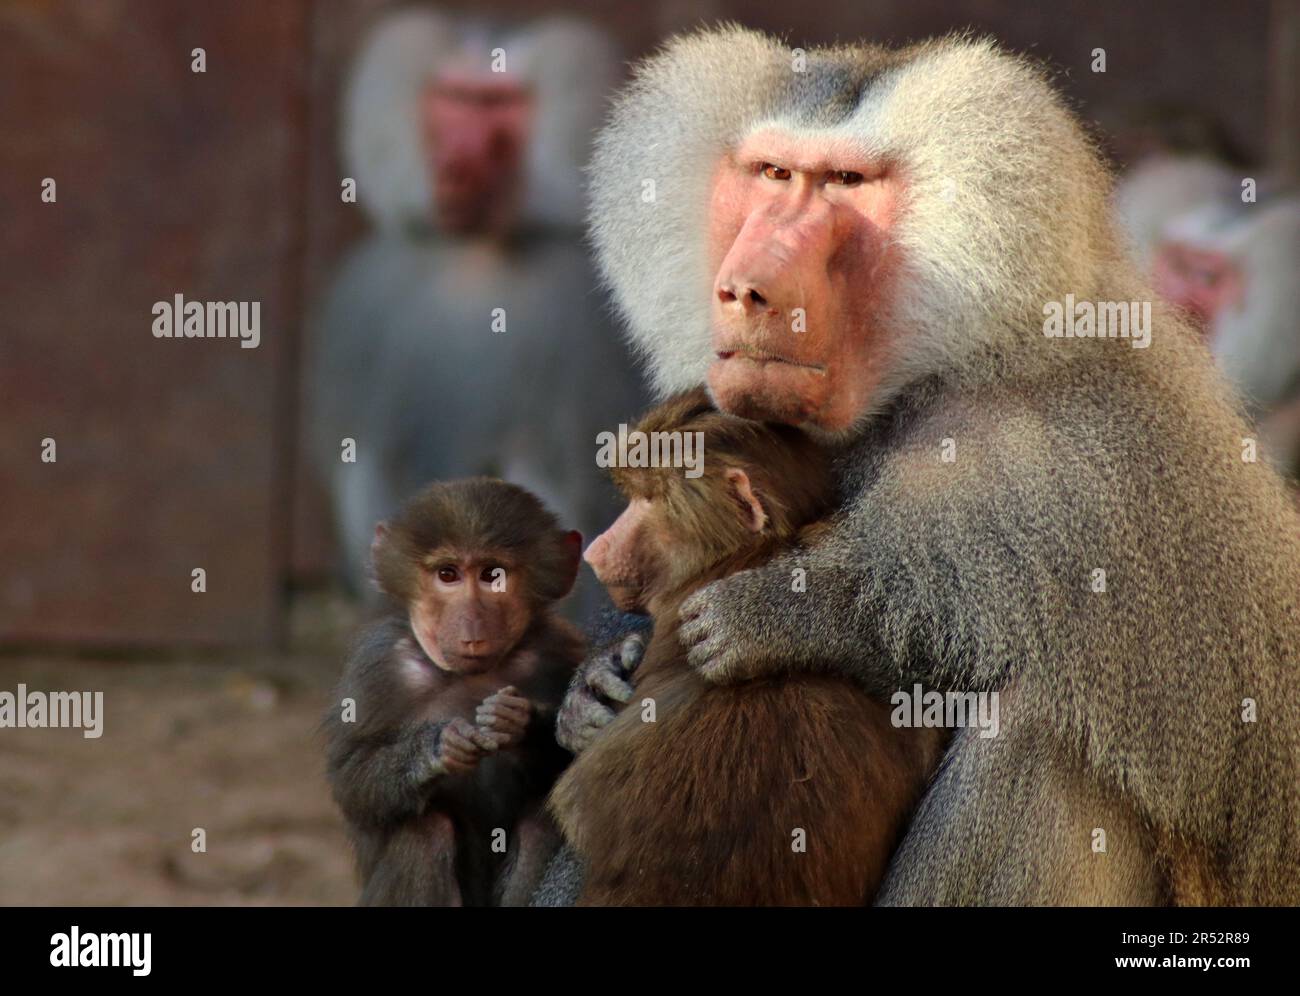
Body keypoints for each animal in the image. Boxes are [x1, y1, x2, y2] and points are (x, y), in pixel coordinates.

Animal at [307, 7, 645, 612]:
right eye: (456, 99)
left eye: (497, 105)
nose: (458, 164)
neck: (479, 254)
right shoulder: (369, 300)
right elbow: (365, 462)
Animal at [323, 478, 584, 906]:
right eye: (448, 574)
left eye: (492, 574)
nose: (471, 627)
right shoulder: (379, 667)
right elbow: (350, 780)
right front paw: (439, 745)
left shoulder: (560, 651)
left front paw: (517, 723)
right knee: (424, 831)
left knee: (540, 827)